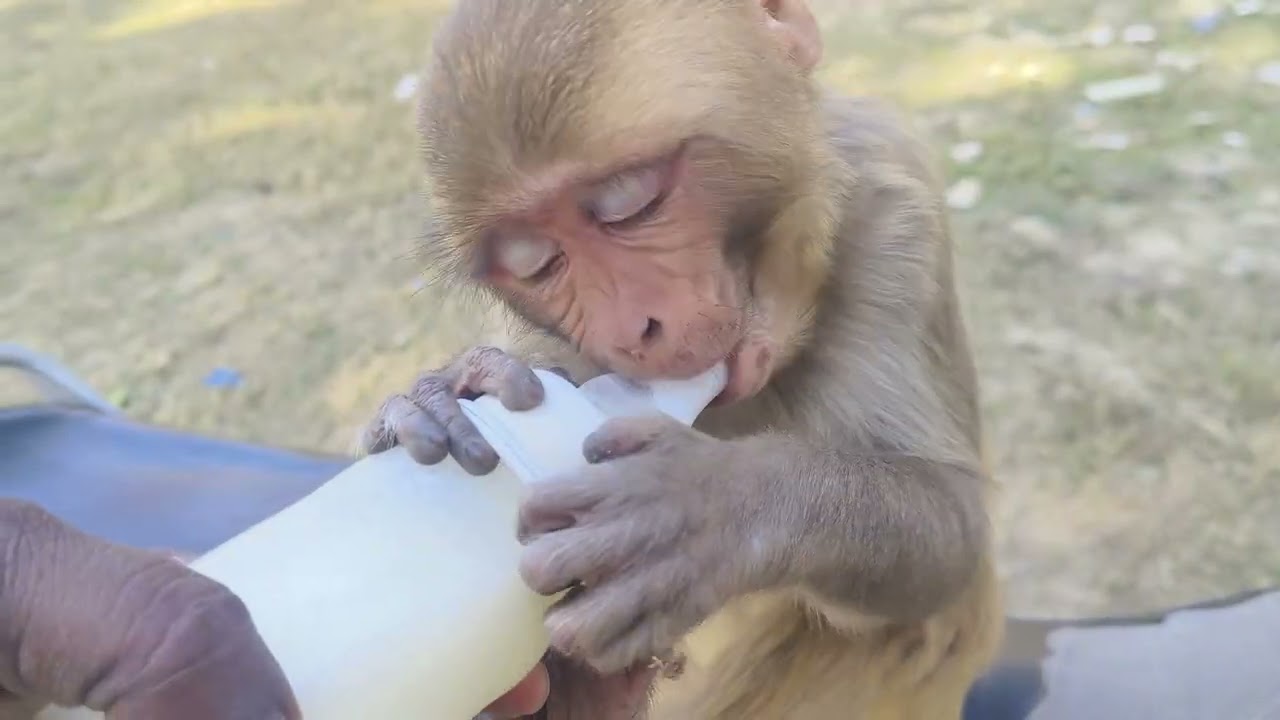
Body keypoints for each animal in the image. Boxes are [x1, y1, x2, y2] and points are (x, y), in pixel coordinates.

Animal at [361, 0, 1003, 717]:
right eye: (539, 265)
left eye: (632, 204)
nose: (633, 329)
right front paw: (439, 404)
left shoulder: (894, 211)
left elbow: (952, 534)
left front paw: (714, 510)